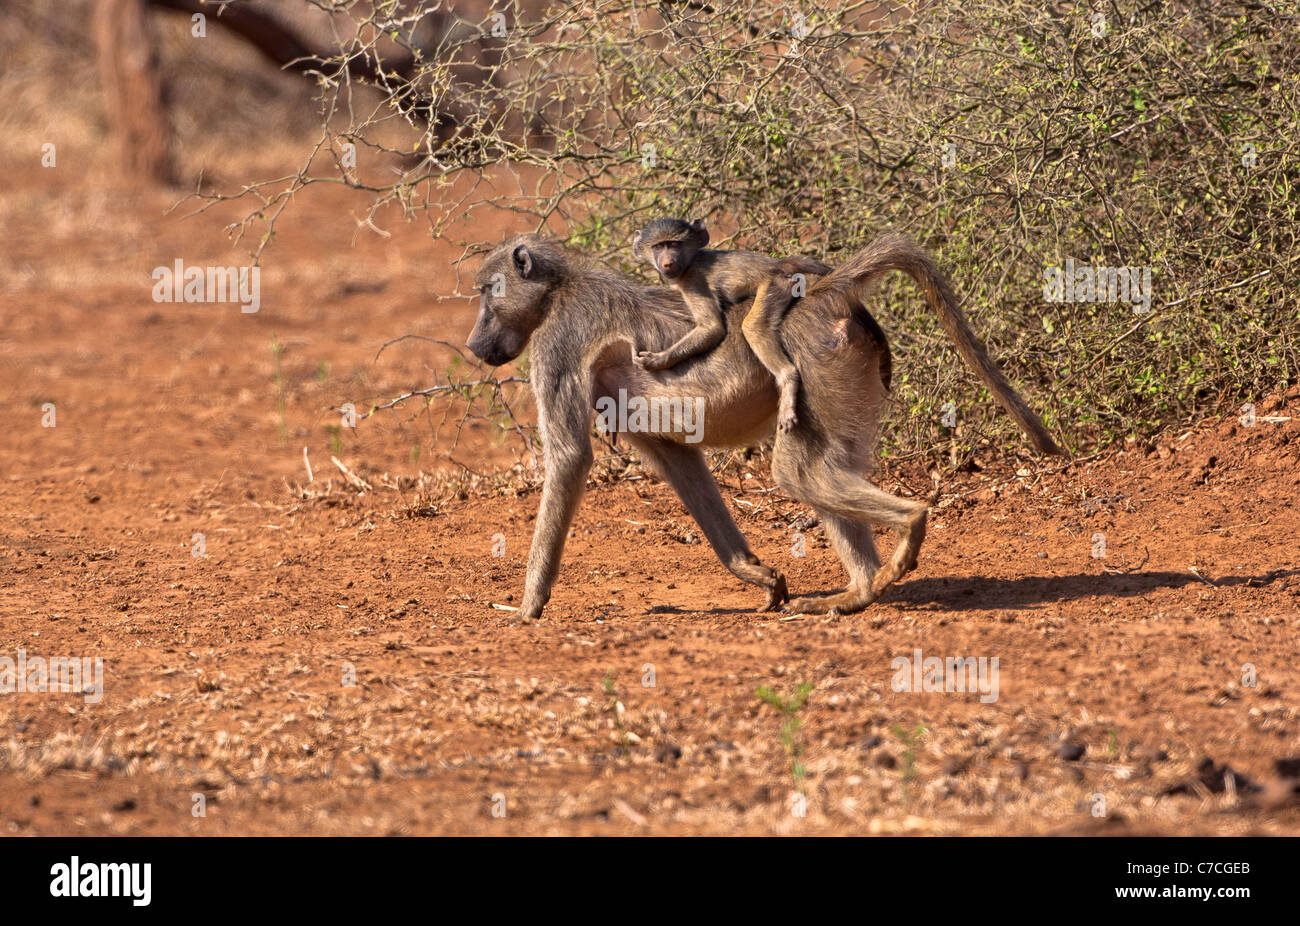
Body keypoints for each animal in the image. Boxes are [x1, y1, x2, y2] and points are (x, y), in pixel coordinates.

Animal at [631, 217, 831, 432]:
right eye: (659, 246)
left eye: (675, 244)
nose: (668, 263)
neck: (692, 259)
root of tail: (777, 264)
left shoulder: (693, 280)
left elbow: (712, 327)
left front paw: (657, 360)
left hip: (776, 285)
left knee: (752, 327)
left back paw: (788, 380)